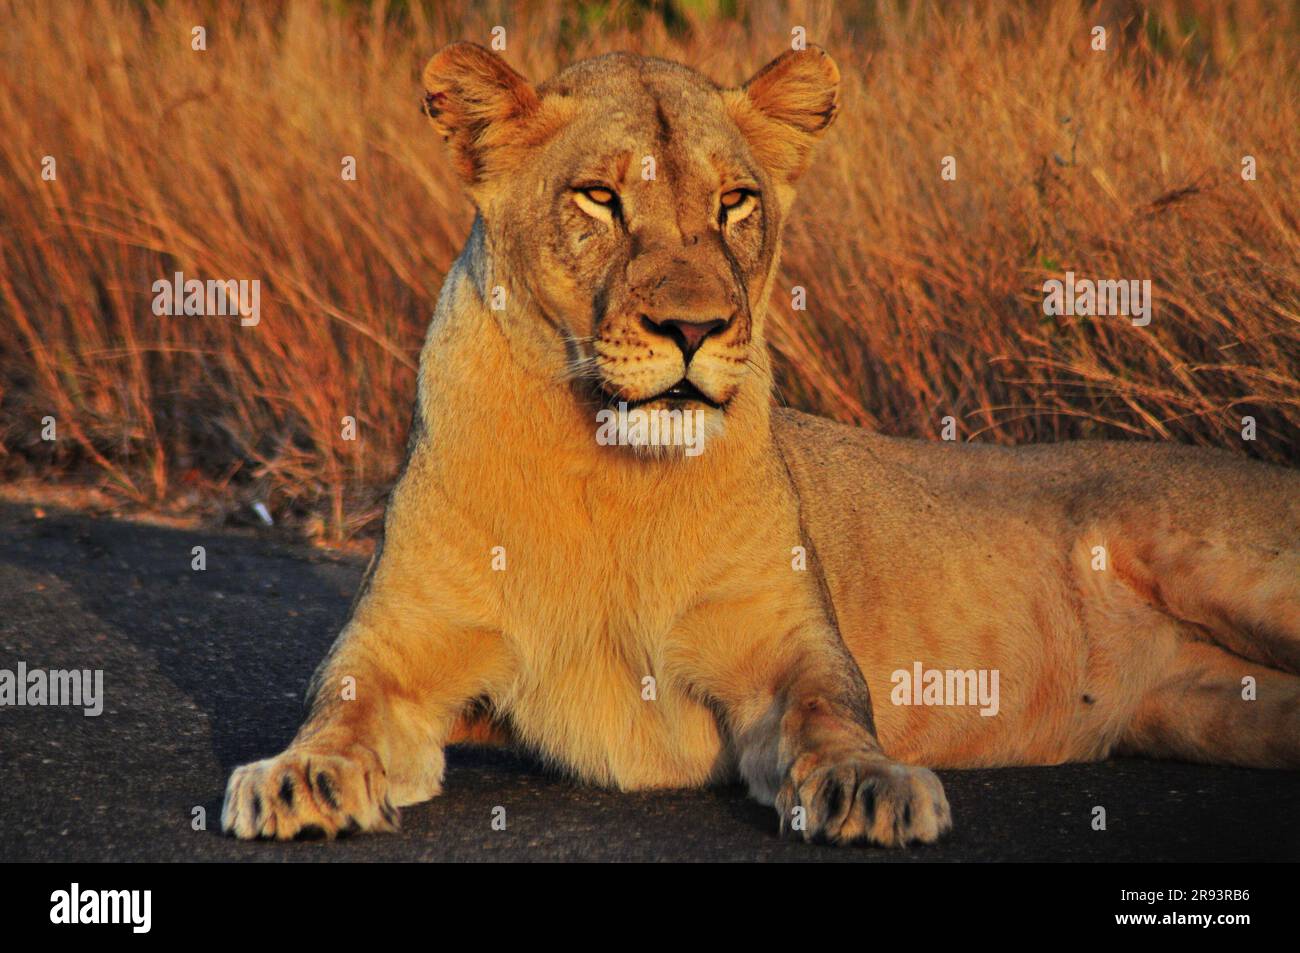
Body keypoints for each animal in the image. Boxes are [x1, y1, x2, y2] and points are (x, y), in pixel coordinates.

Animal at [222, 43, 1300, 847]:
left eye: (735, 202)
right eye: (599, 198)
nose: (694, 327)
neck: (606, 469)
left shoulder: (786, 648)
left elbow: (833, 714)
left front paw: (874, 788)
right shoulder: (399, 649)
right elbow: (343, 709)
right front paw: (299, 777)